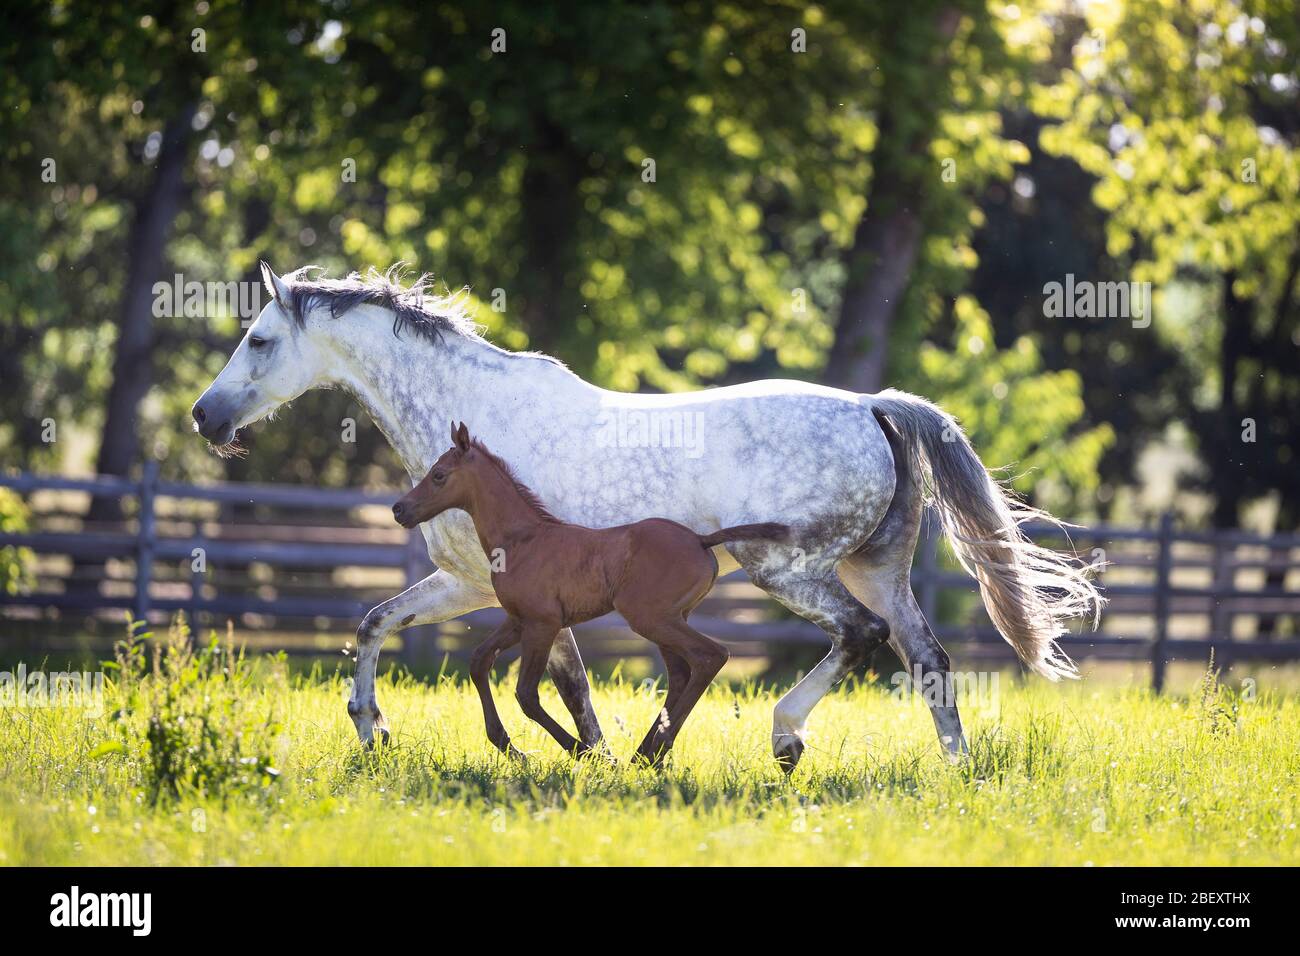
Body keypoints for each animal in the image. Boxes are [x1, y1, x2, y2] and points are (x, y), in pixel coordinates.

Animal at [393, 421, 789, 765]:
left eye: (438, 475)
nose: (399, 509)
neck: (522, 540)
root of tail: (701, 540)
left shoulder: (543, 623)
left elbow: (526, 694)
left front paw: (586, 753)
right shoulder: (518, 620)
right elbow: (479, 661)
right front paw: (508, 746)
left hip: (651, 619)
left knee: (711, 656)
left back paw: (654, 752)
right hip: (670, 619)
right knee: (681, 673)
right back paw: (644, 755)